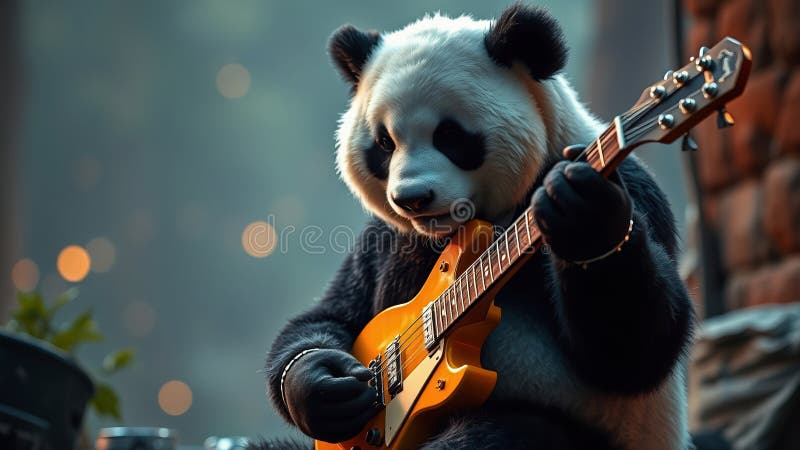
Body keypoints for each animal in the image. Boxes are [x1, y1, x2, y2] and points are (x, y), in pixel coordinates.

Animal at [257, 4, 694, 450]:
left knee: (504, 433)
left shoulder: (633, 191)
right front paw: (324, 387)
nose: (411, 198)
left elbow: (631, 353)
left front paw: (587, 216)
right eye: (384, 144)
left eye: (449, 136)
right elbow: (334, 314)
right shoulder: (383, 239)